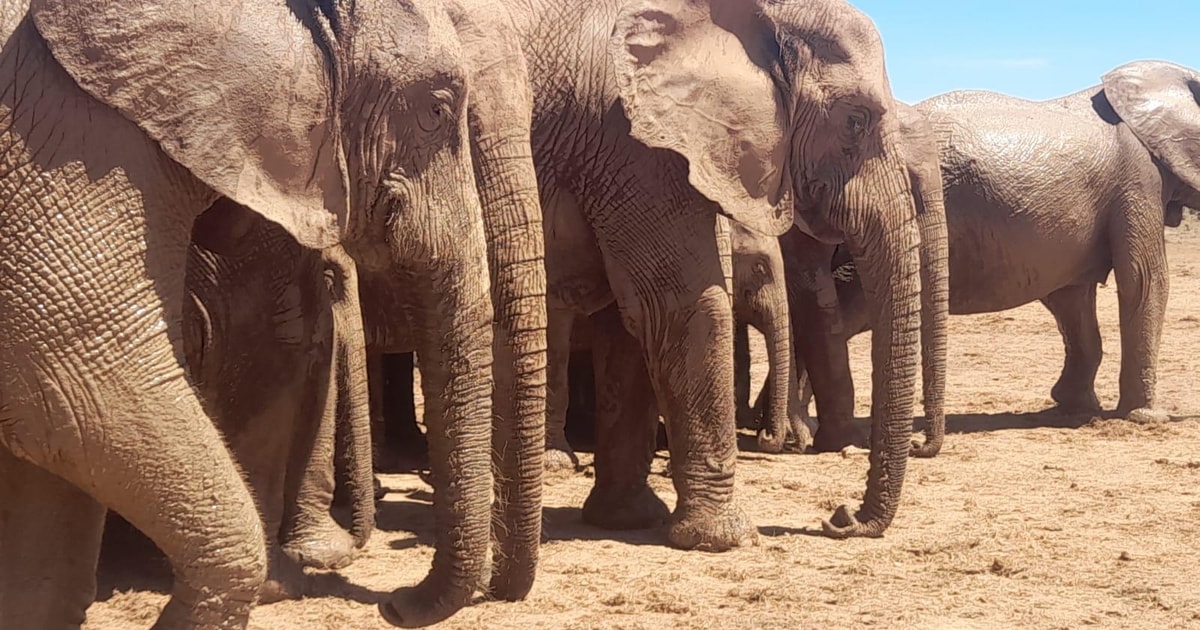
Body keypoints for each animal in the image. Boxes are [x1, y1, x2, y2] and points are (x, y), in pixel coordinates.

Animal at [793, 60, 1199, 447]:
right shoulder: (1139, 179)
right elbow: (1144, 281)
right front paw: (1146, 418)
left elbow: (1072, 300)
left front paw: (1074, 408)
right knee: (849, 308)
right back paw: (805, 433)